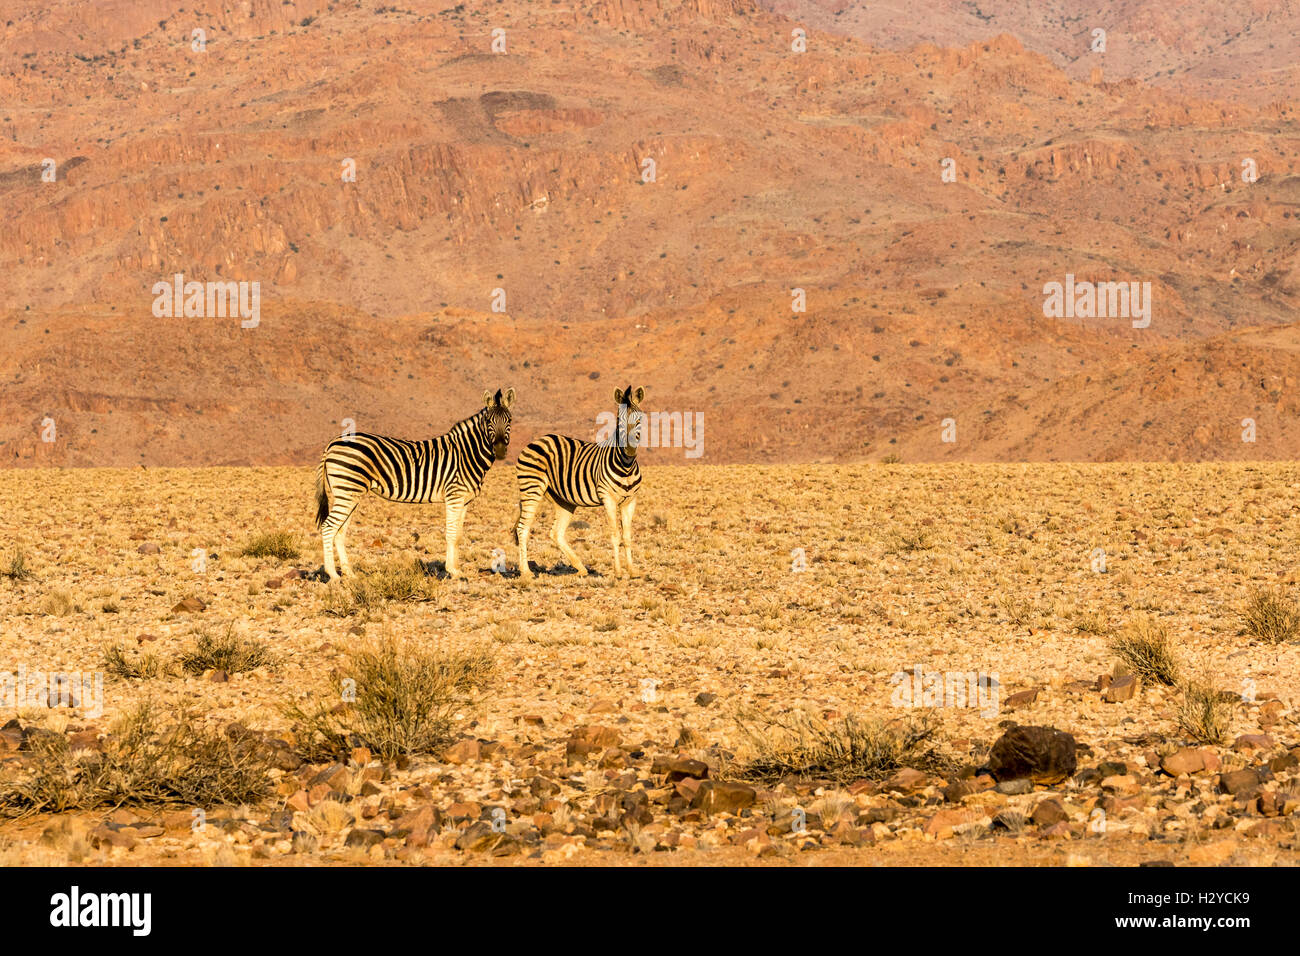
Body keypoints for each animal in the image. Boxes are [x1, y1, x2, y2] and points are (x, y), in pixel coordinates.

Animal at [313, 388, 515, 581]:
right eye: (488, 421)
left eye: (509, 420)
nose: (500, 450)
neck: (466, 453)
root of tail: (333, 442)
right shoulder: (454, 495)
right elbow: (450, 534)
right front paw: (452, 571)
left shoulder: (465, 500)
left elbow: (458, 535)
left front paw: (457, 569)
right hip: (347, 490)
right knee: (329, 527)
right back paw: (333, 575)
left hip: (349, 493)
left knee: (339, 531)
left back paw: (349, 574)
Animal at [514, 386, 645, 579]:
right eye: (619, 421)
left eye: (639, 418)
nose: (629, 448)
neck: (626, 465)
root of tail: (538, 439)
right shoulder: (608, 498)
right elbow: (615, 534)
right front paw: (618, 572)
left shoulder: (630, 501)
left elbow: (627, 536)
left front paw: (633, 571)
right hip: (531, 487)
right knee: (523, 528)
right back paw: (526, 572)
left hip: (564, 500)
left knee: (556, 533)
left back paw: (581, 568)